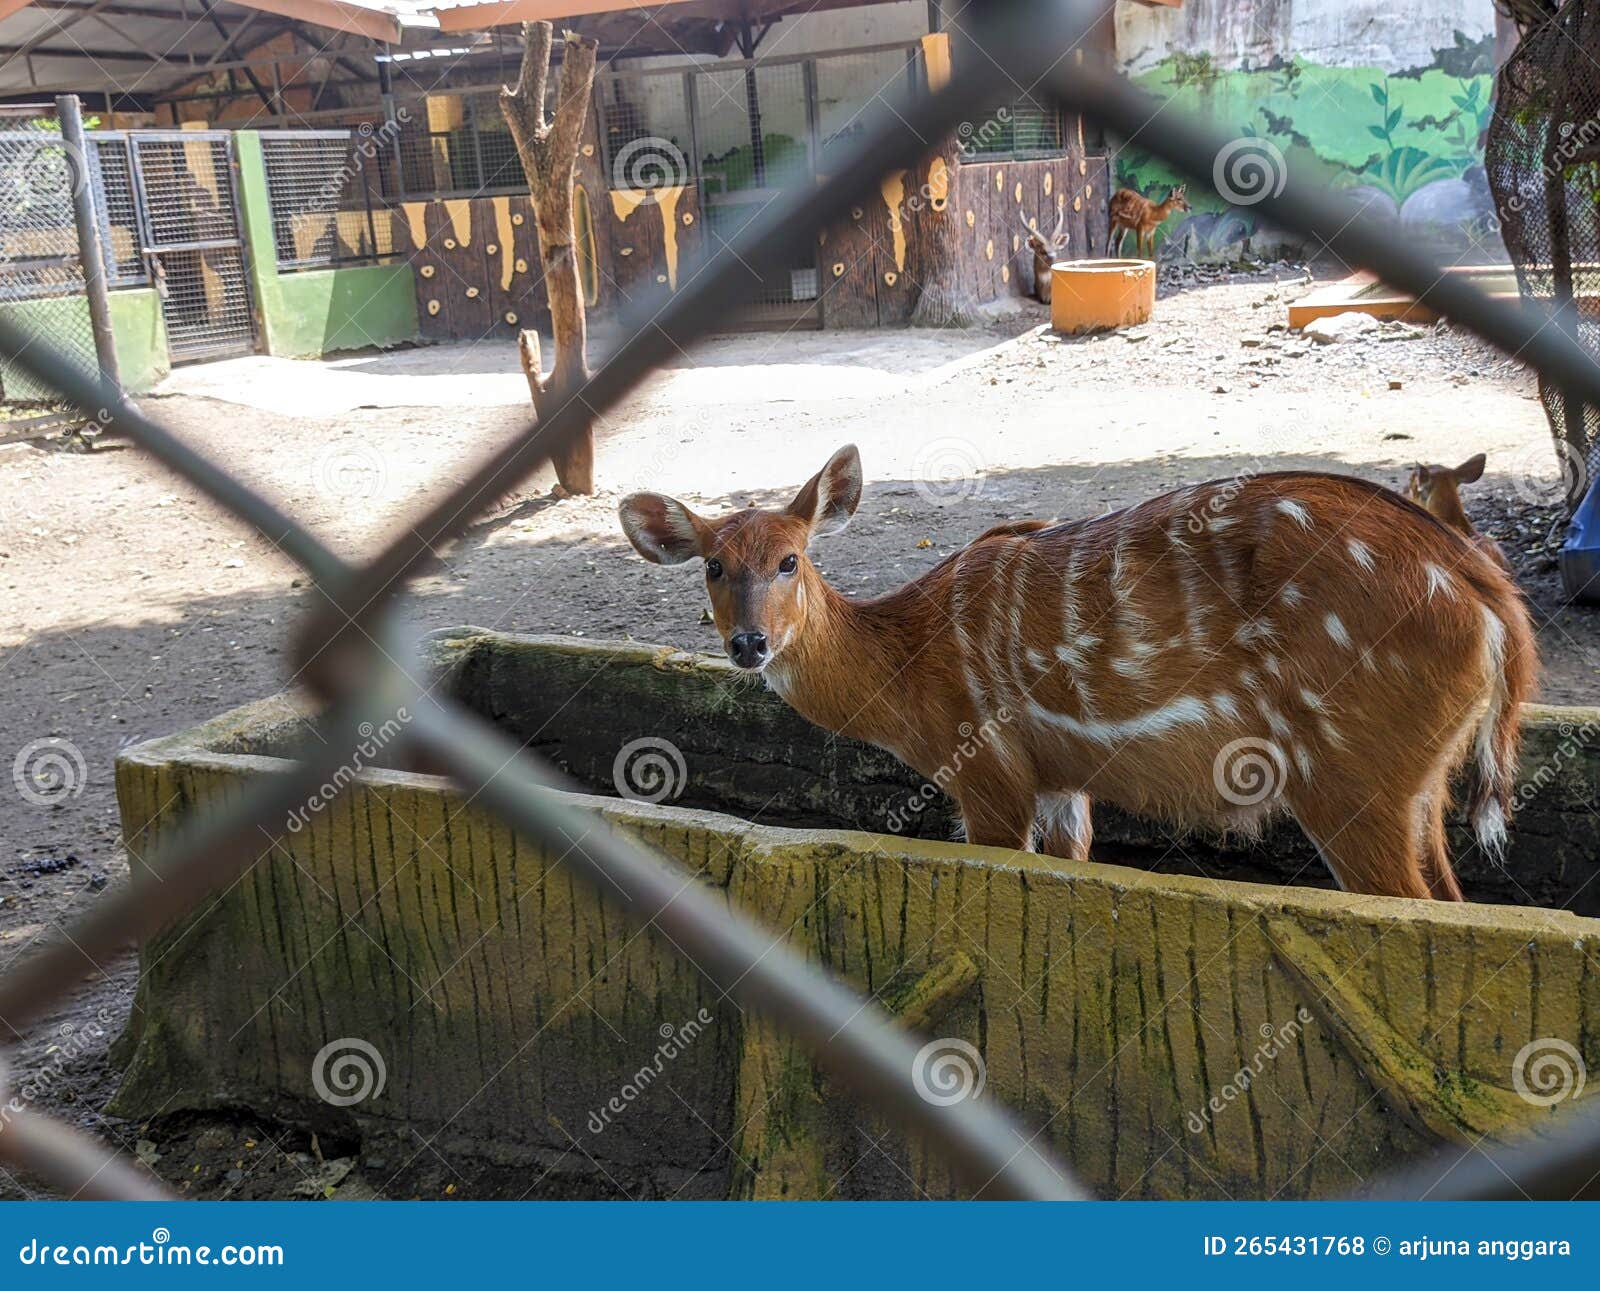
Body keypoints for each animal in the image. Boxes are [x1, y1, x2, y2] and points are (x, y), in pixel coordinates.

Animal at [621, 448, 1536, 902]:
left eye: (790, 558)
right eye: (712, 563)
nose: (750, 643)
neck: (911, 661)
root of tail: (1490, 597)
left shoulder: (988, 772)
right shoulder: (1064, 782)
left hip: (1350, 780)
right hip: (1419, 784)